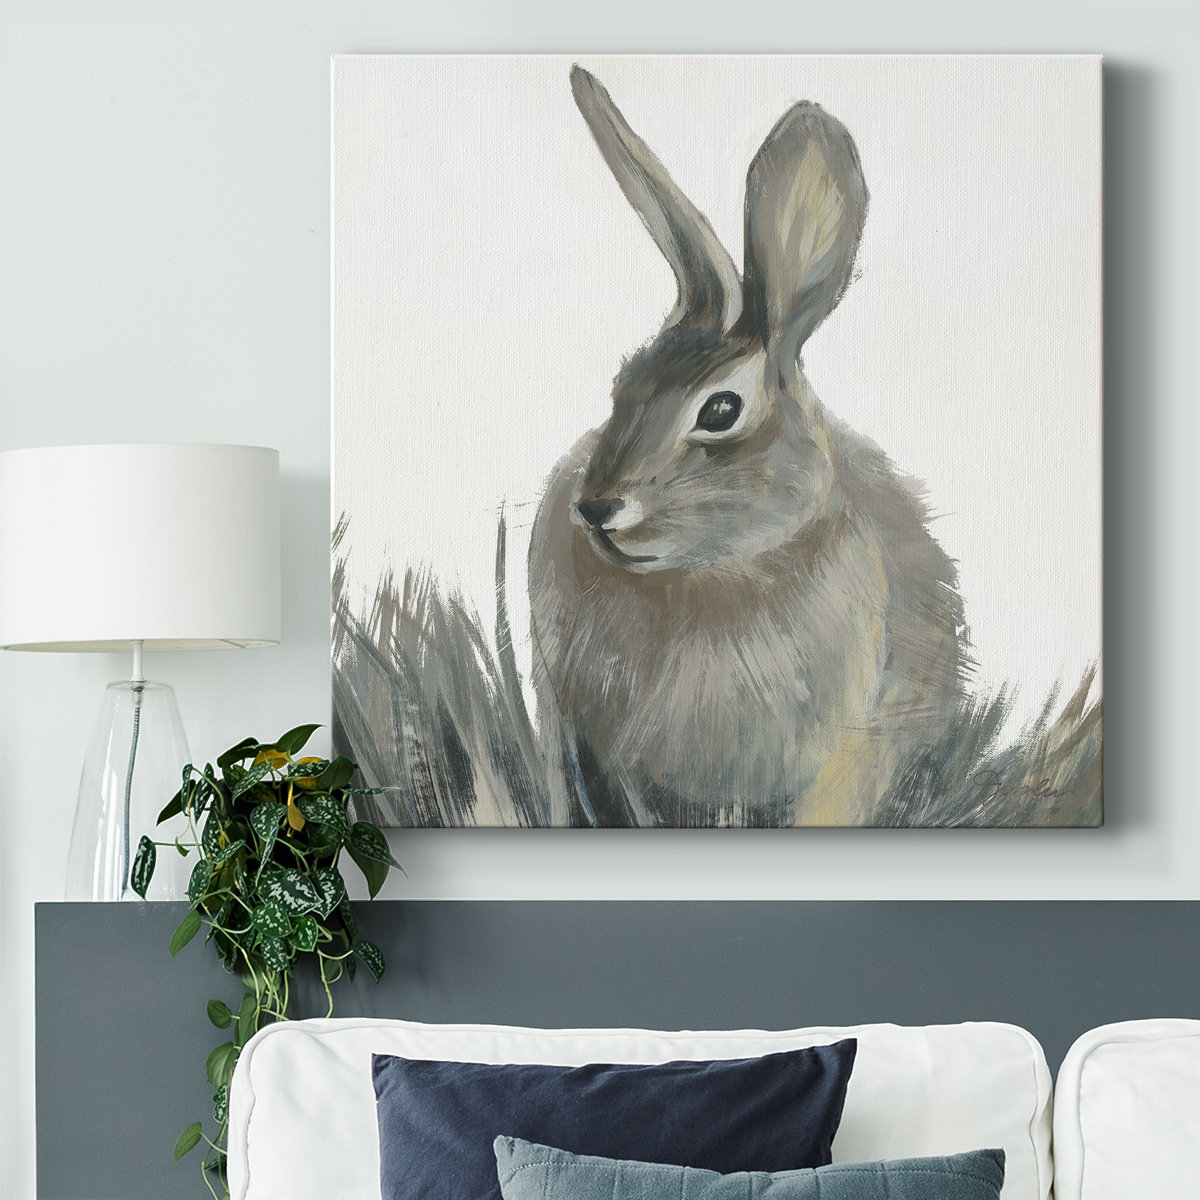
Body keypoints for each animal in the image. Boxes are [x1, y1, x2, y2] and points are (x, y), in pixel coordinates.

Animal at [528, 67, 968, 827]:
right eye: (622, 385)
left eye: (721, 410)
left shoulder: (848, 747)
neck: (716, 574)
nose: (597, 508)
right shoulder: (599, 748)